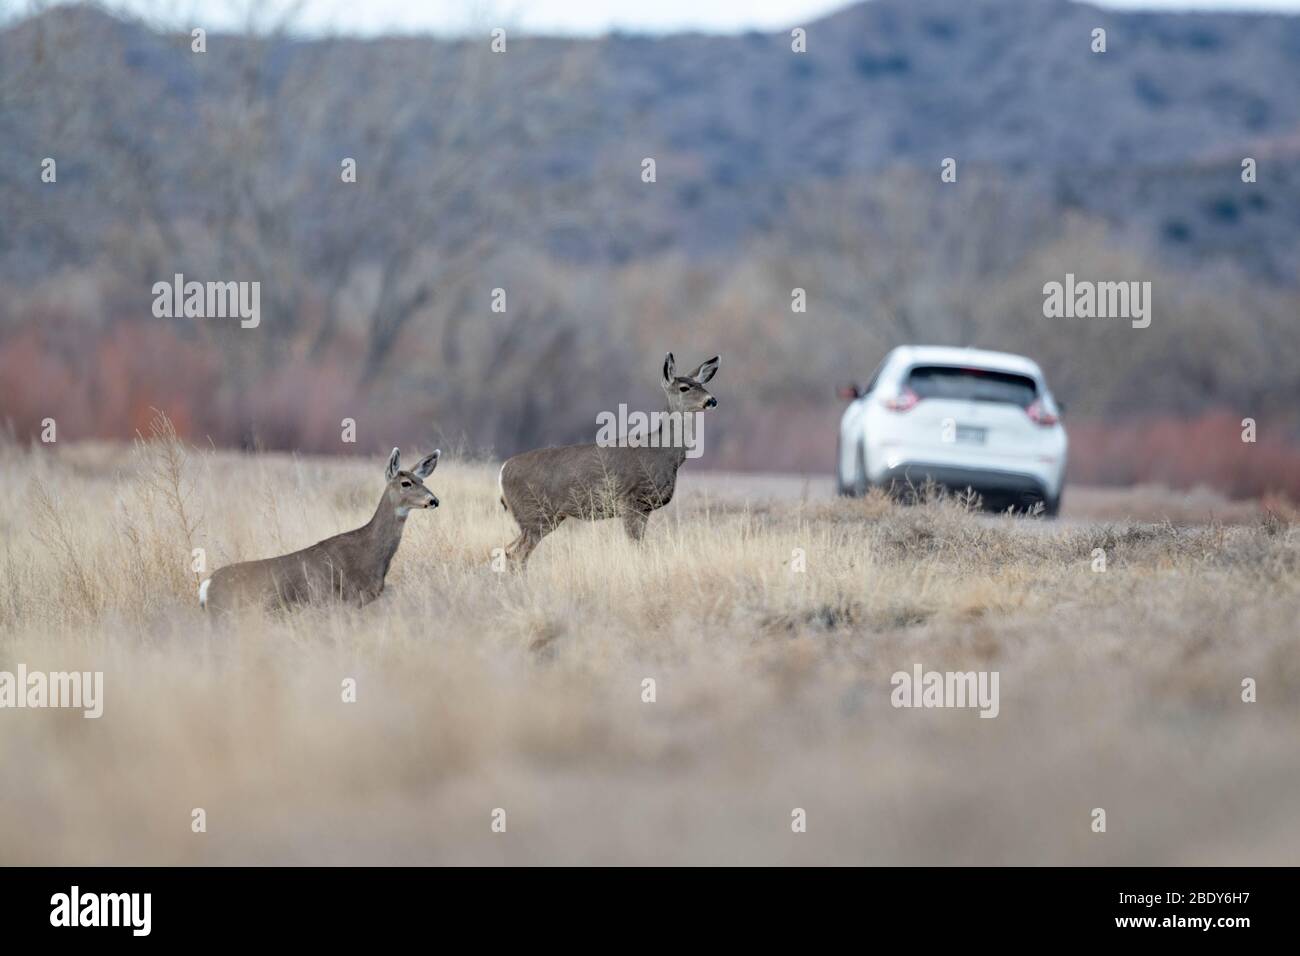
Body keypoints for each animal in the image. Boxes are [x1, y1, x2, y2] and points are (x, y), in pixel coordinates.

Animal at [199, 447, 440, 613]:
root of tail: (206, 587)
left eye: (422, 480)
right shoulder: (340, 601)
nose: (433, 500)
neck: (369, 554)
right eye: (406, 483)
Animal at [498, 352, 719, 566]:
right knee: (516, 554)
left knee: (510, 550)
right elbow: (637, 549)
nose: (712, 400)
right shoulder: (630, 502)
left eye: (702, 384)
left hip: (541, 517)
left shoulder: (645, 509)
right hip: (534, 514)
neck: (662, 452)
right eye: (684, 387)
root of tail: (502, 472)